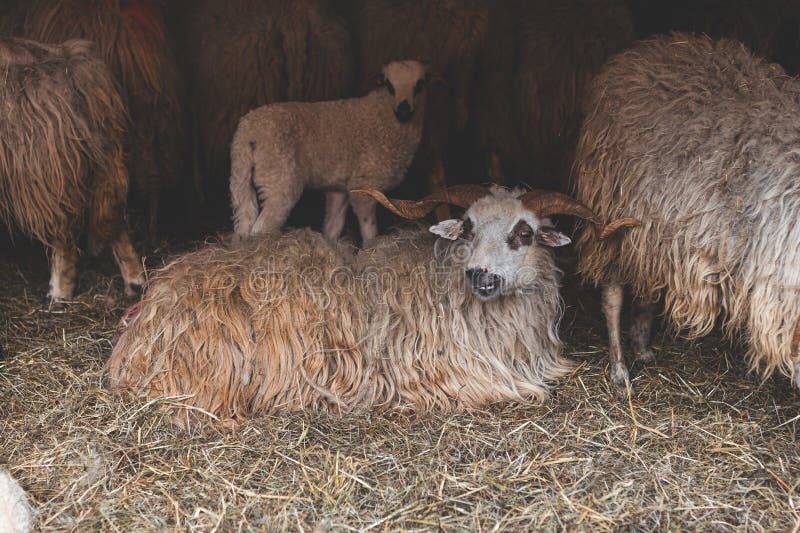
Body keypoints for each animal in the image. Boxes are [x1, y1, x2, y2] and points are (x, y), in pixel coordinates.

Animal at [0, 37, 144, 307]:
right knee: (113, 219)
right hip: (104, 165)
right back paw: (135, 282)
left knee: (64, 233)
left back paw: (58, 292)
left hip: (46, 172)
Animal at [230, 60, 428, 243]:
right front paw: (371, 250)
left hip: (241, 177)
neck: (383, 115)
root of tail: (251, 130)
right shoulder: (364, 184)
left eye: (420, 85)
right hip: (278, 179)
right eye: (389, 85)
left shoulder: (338, 189)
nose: (404, 109)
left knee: (244, 222)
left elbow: (333, 227)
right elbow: (369, 229)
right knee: (261, 228)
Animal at [572, 32, 800, 395]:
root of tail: (646, 48)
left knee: (648, 283)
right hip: (613, 211)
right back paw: (620, 368)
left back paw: (642, 347)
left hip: (654, 226)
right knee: (613, 294)